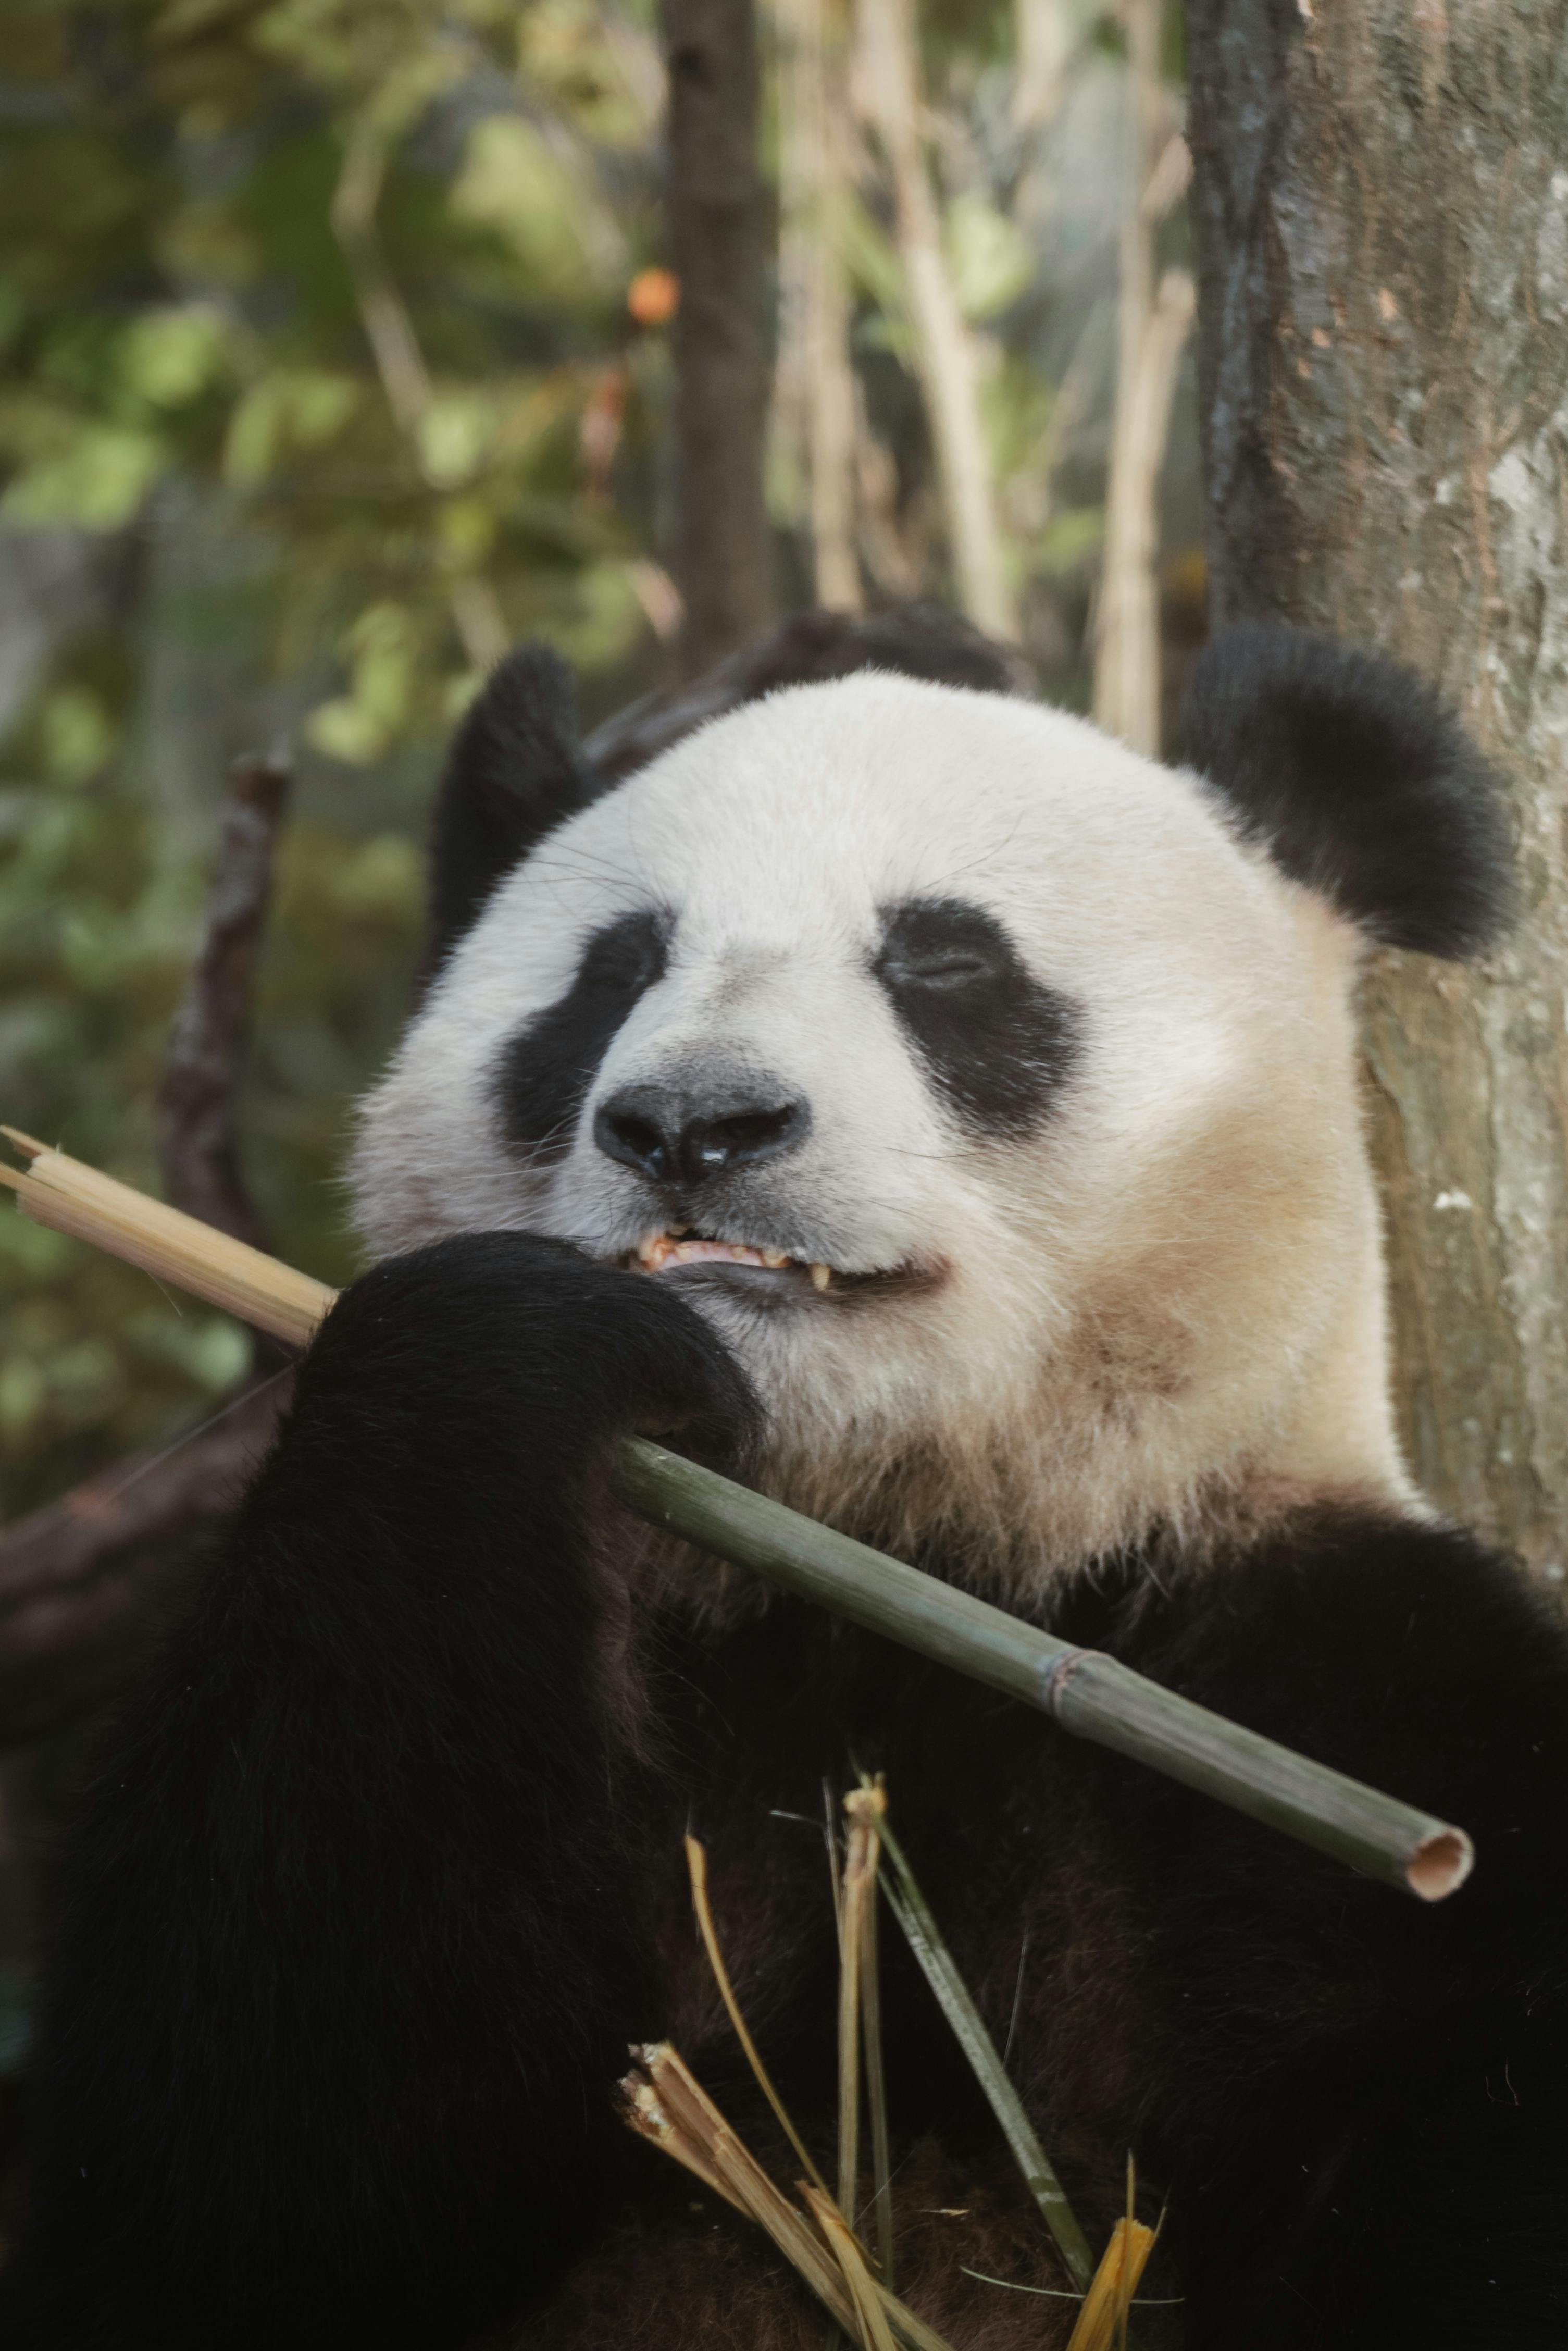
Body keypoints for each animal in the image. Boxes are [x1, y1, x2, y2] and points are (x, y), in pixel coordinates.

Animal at [5, 612, 1568, 2351]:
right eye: (613, 969)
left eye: (944, 966)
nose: (692, 1124)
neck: (883, 1552)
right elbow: (240, 2172)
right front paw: (516, 1340)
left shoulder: (1332, 1685)